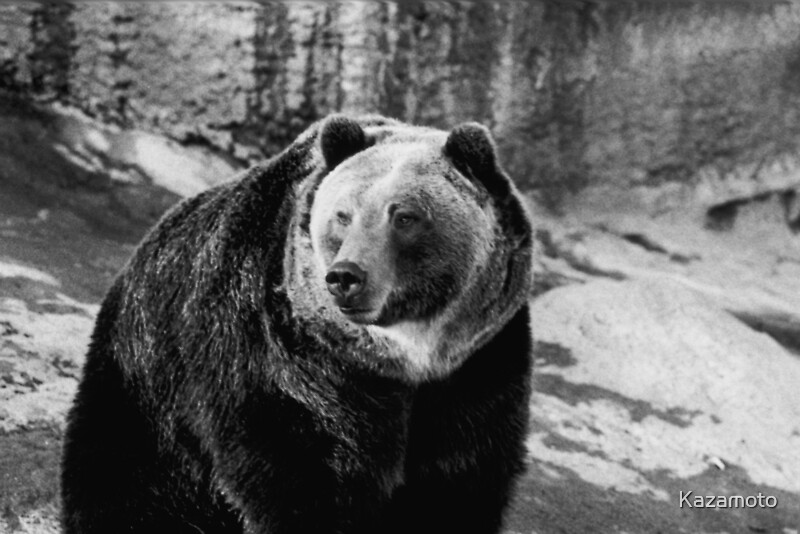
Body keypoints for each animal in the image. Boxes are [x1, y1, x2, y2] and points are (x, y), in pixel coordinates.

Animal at [60, 114, 534, 534]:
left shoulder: (478, 369)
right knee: (127, 481)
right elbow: (298, 471)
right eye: (343, 214)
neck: (402, 361)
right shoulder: (278, 348)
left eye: (405, 216)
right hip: (149, 382)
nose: (346, 276)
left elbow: (457, 487)